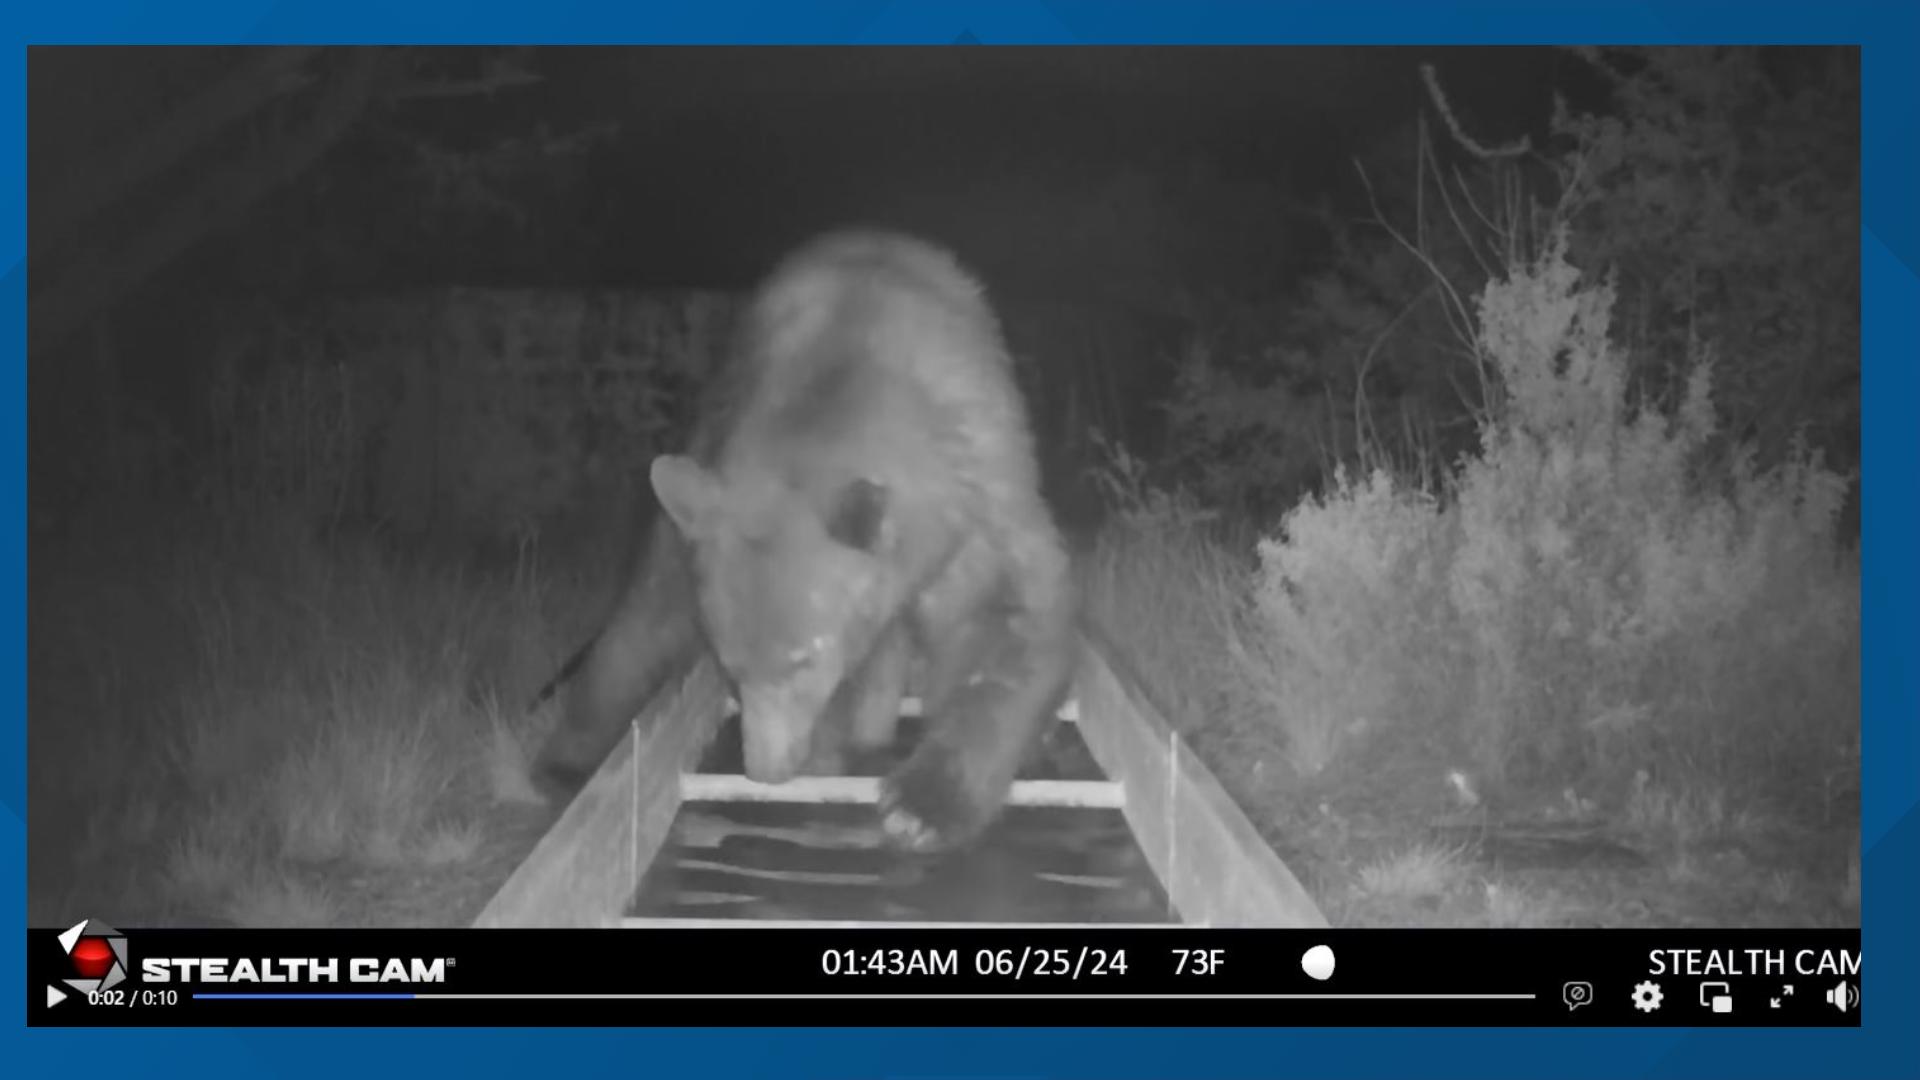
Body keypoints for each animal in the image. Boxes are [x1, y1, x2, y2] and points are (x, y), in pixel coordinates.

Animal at [530, 229, 1079, 852]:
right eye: (730, 664)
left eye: (803, 659)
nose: (765, 770)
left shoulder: (976, 500)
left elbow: (1010, 623)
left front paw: (923, 805)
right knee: (644, 615)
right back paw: (568, 759)